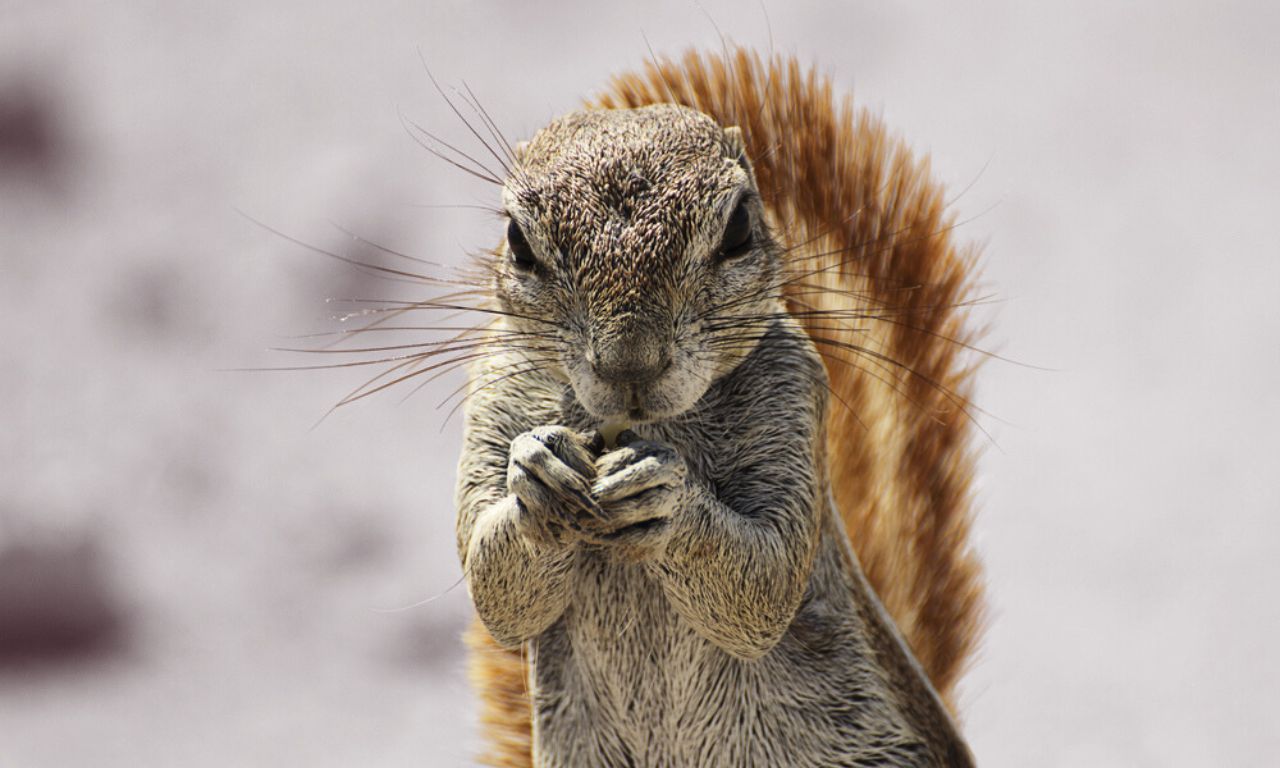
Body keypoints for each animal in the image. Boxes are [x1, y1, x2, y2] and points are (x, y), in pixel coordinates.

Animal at [454, 48, 984, 767]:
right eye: (516, 241)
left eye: (737, 228)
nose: (629, 363)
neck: (652, 426)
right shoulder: (495, 389)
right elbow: (493, 587)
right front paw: (533, 476)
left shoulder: (792, 397)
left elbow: (763, 588)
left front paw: (668, 498)